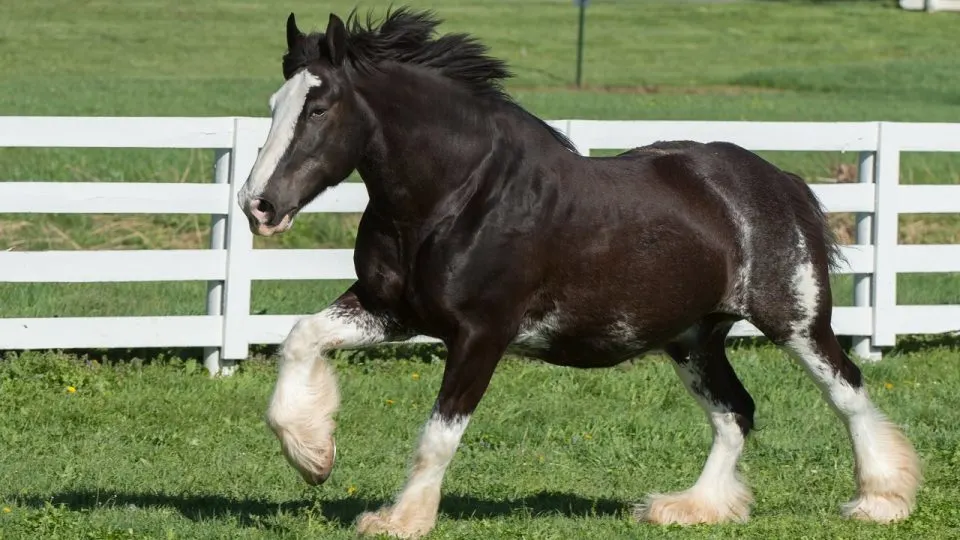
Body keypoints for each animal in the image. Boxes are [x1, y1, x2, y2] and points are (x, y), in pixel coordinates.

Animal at [236, 8, 921, 538]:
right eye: (274, 104)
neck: (460, 196)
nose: (258, 206)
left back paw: (880, 500)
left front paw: (400, 519)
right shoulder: (391, 311)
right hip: (693, 338)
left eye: (319, 108)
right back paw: (691, 508)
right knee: (736, 413)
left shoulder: (481, 335)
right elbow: (300, 338)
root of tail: (779, 180)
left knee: (849, 391)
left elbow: (439, 433)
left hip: (796, 322)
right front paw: (313, 456)